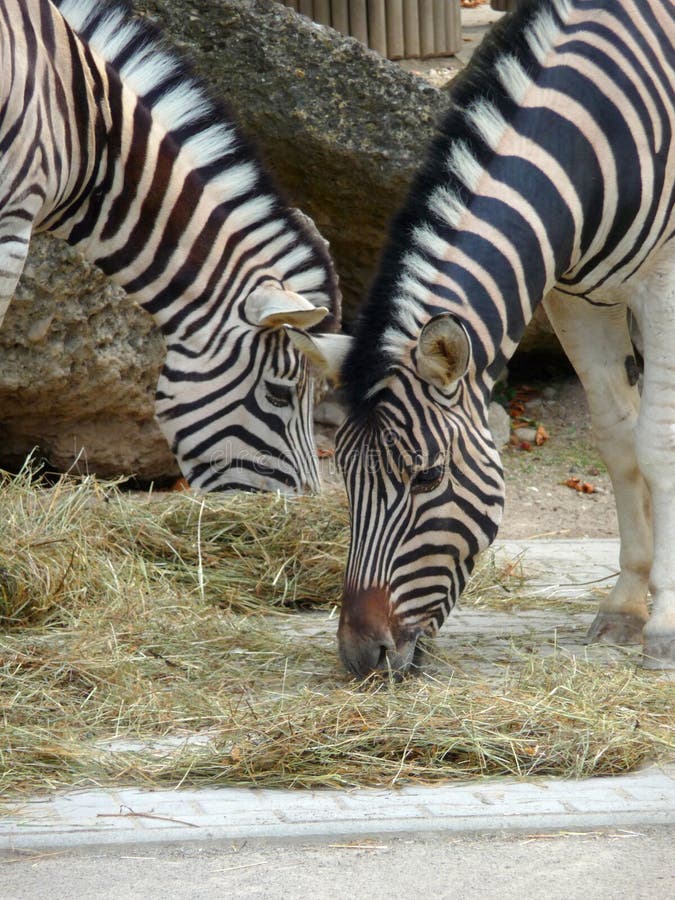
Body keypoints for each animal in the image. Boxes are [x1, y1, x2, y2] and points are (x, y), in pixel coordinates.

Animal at [293, 0, 675, 674]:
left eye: (426, 477)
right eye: (347, 476)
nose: (361, 657)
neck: (586, 141)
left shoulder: (664, 279)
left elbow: (658, 442)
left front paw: (665, 625)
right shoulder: (573, 295)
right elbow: (618, 439)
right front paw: (627, 606)